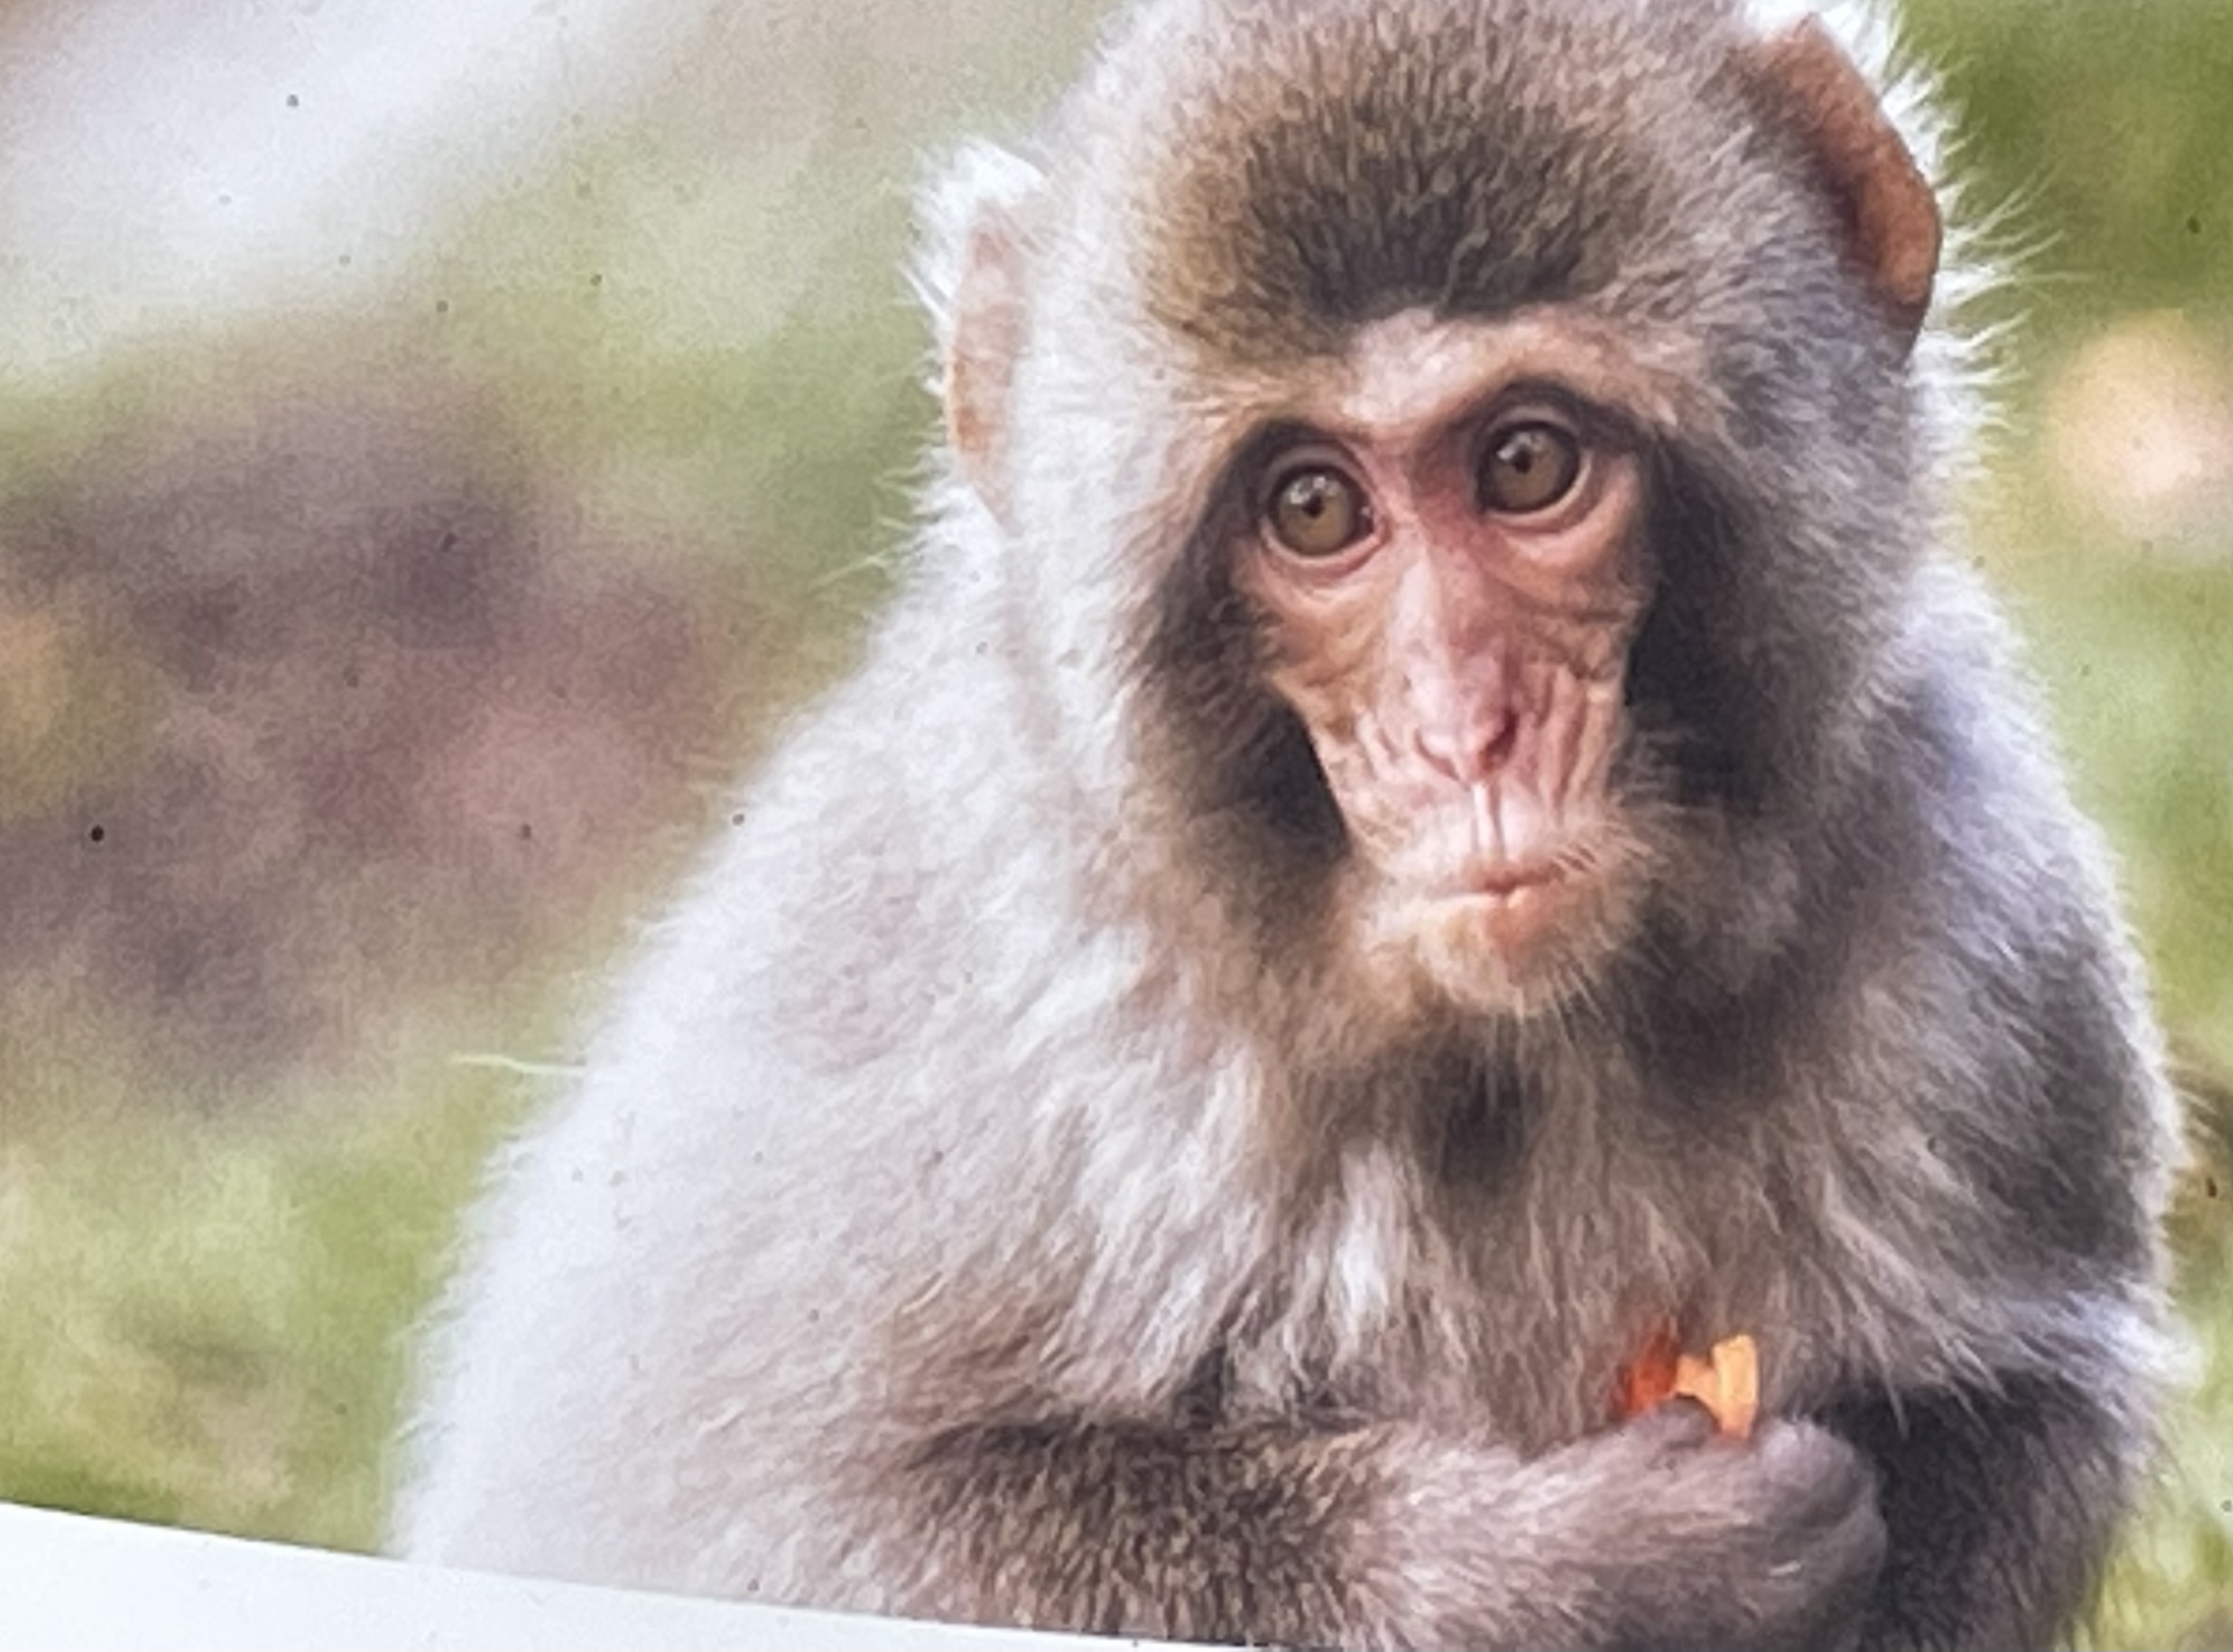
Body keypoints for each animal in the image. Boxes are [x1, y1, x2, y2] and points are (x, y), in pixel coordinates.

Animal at [390, 2, 2185, 1649]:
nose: (1466, 734)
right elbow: (750, 1526)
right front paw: (1577, 1572)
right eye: (1314, 507)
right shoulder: (982, 989)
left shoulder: (1976, 918)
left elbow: (2028, 1407)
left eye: (1527, 465)